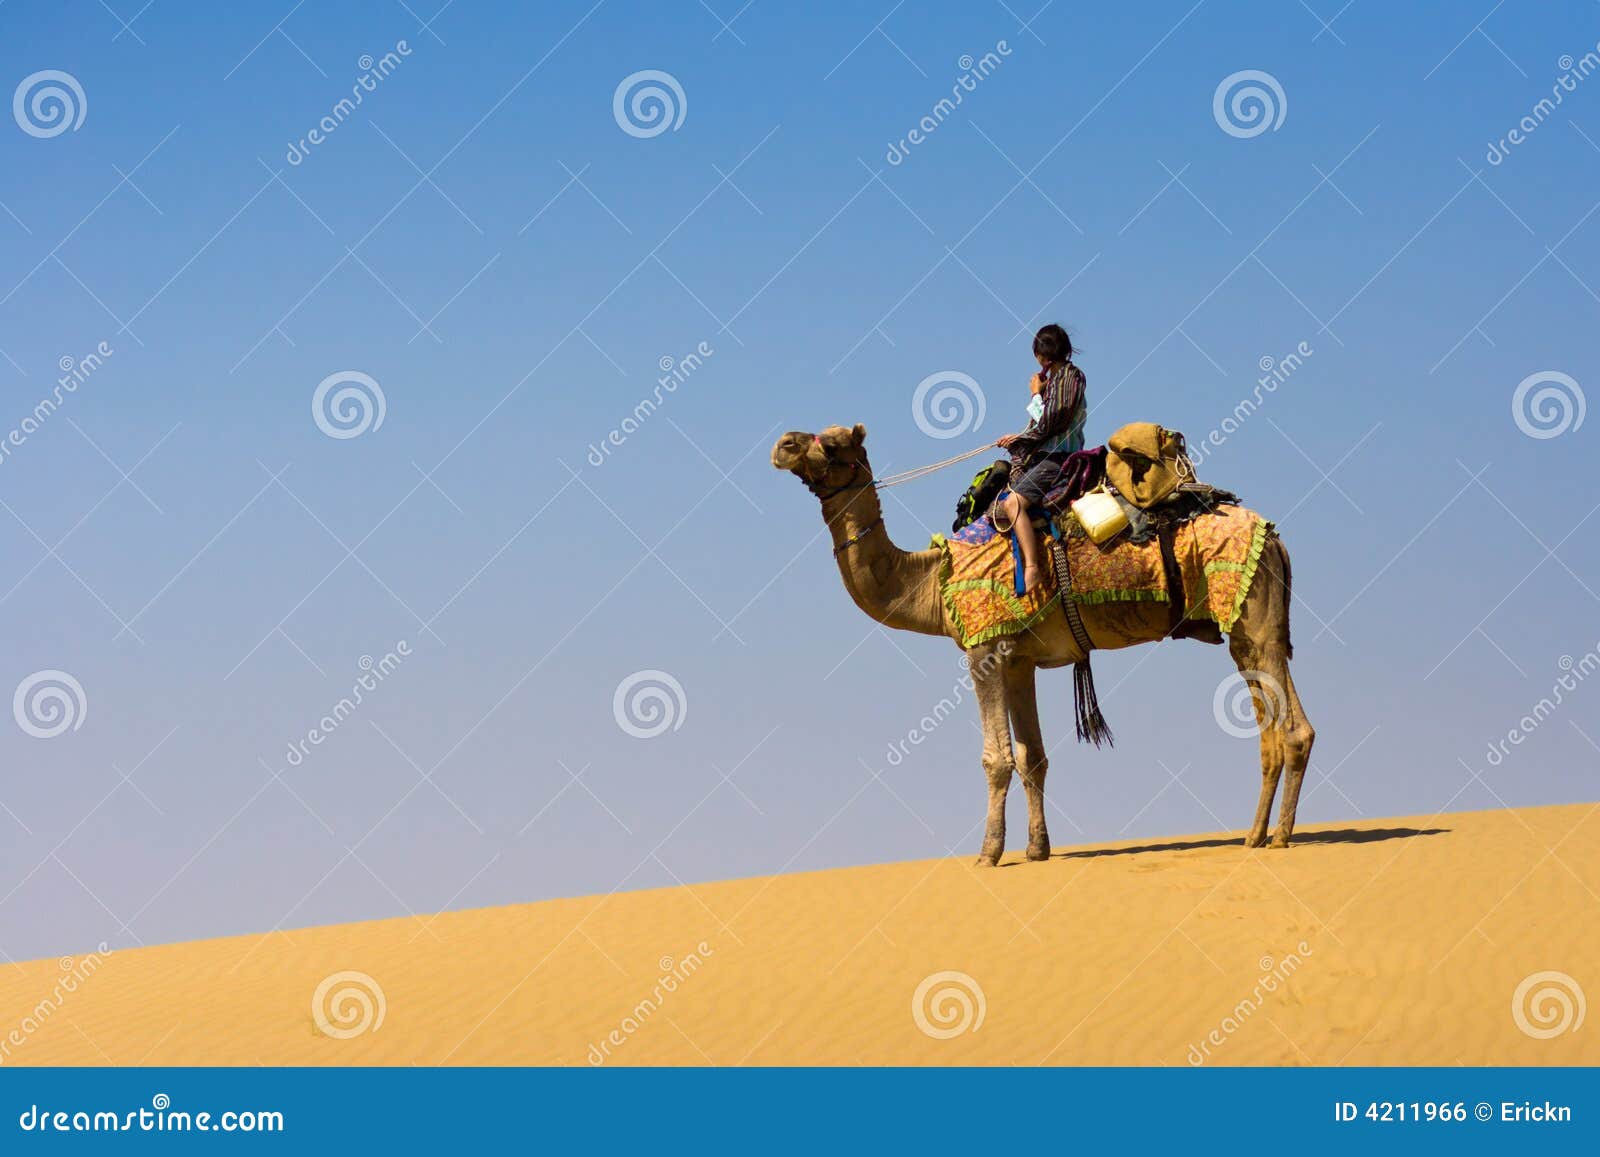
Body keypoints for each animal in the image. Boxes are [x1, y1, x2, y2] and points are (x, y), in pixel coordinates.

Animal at [772, 424, 1315, 866]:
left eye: (834, 443)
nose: (783, 444)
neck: (933, 581)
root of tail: (1277, 539)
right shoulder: (1019, 661)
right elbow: (1032, 756)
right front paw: (1037, 850)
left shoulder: (985, 651)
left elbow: (996, 759)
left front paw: (988, 854)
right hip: (1243, 625)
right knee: (1269, 727)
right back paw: (1256, 836)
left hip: (1254, 611)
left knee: (1293, 729)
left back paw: (1279, 837)